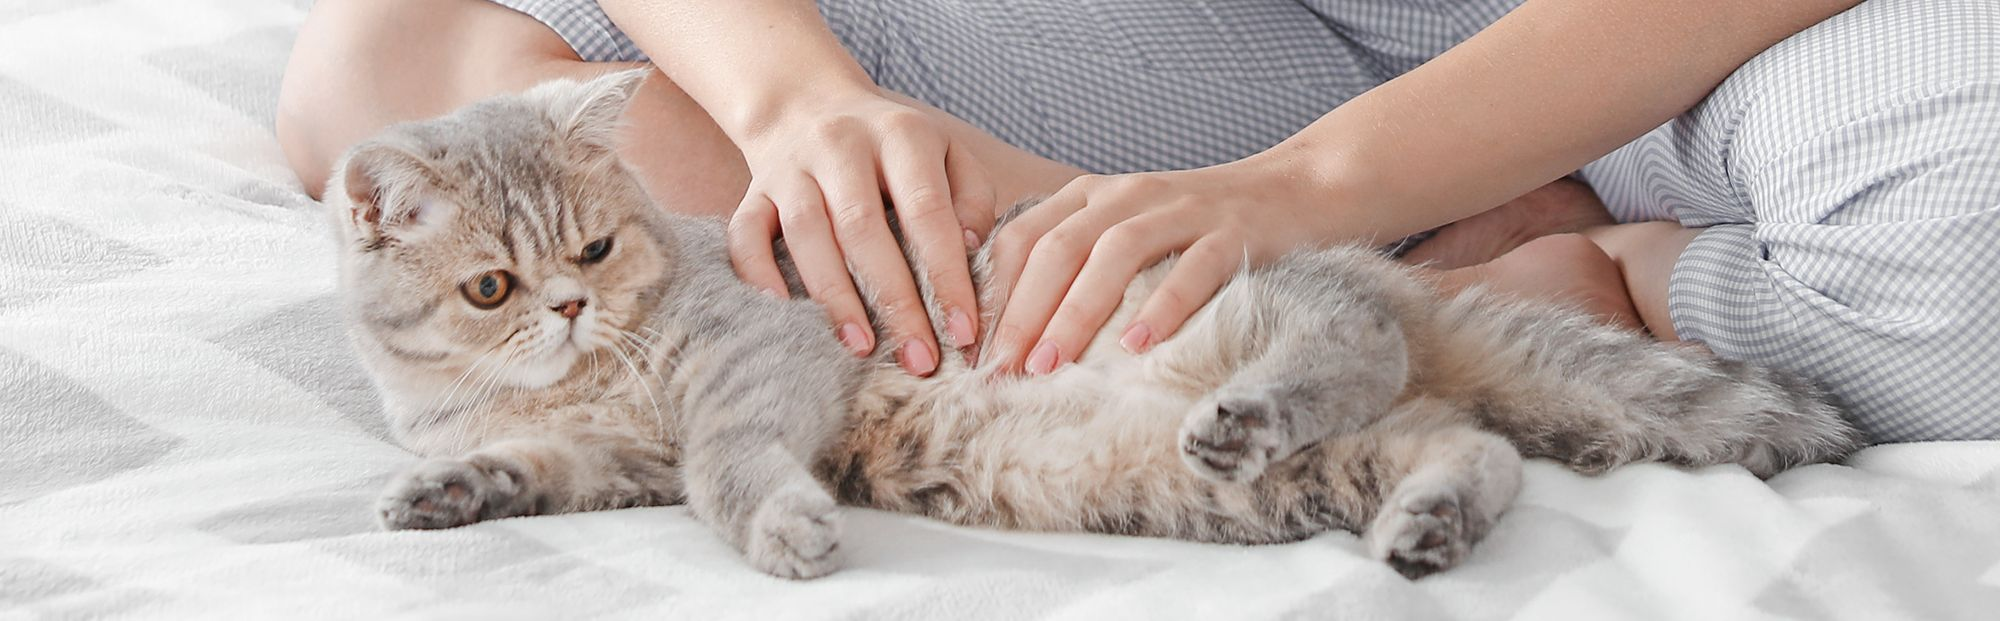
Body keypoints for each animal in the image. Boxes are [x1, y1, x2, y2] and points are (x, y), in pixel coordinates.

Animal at [320, 70, 1864, 580]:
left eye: (590, 247)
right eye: (491, 287)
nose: (572, 303)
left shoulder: (762, 368)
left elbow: (727, 467)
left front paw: (786, 531)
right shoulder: (605, 458)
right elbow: (539, 472)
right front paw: (448, 489)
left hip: (1223, 303)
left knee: (1351, 344)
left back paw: (1266, 404)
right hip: (1284, 483)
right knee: (1467, 449)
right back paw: (1422, 532)